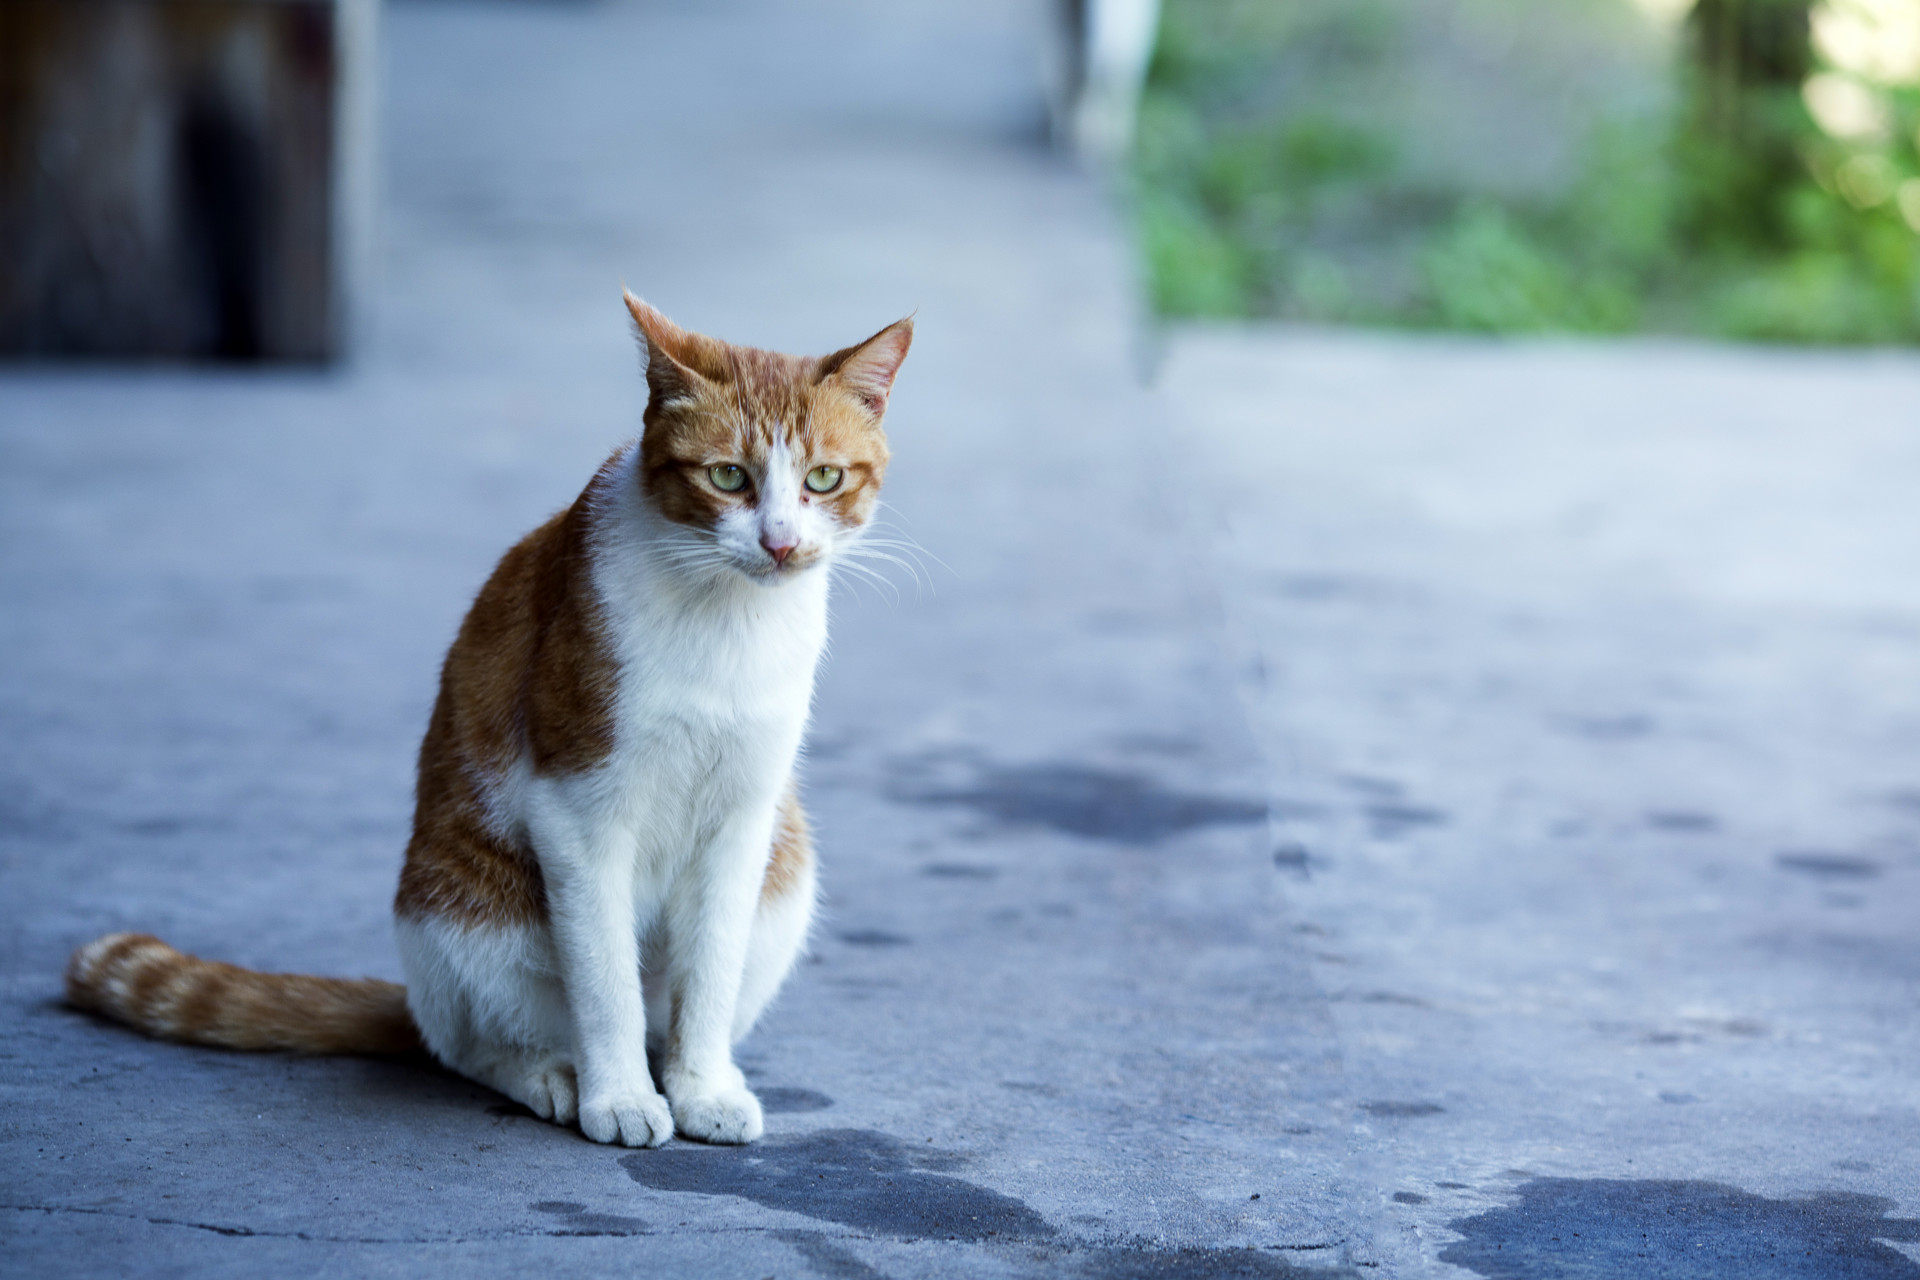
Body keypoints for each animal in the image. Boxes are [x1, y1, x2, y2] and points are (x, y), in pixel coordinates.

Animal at [63, 293, 917, 1151]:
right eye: (729, 476)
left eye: (823, 478)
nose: (780, 544)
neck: (729, 618)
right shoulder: (576, 809)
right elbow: (604, 982)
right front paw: (620, 1097)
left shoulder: (745, 819)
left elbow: (709, 972)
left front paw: (701, 1086)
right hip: (472, 911)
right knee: (474, 1047)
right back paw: (553, 1076)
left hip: (787, 871)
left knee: (667, 1013)